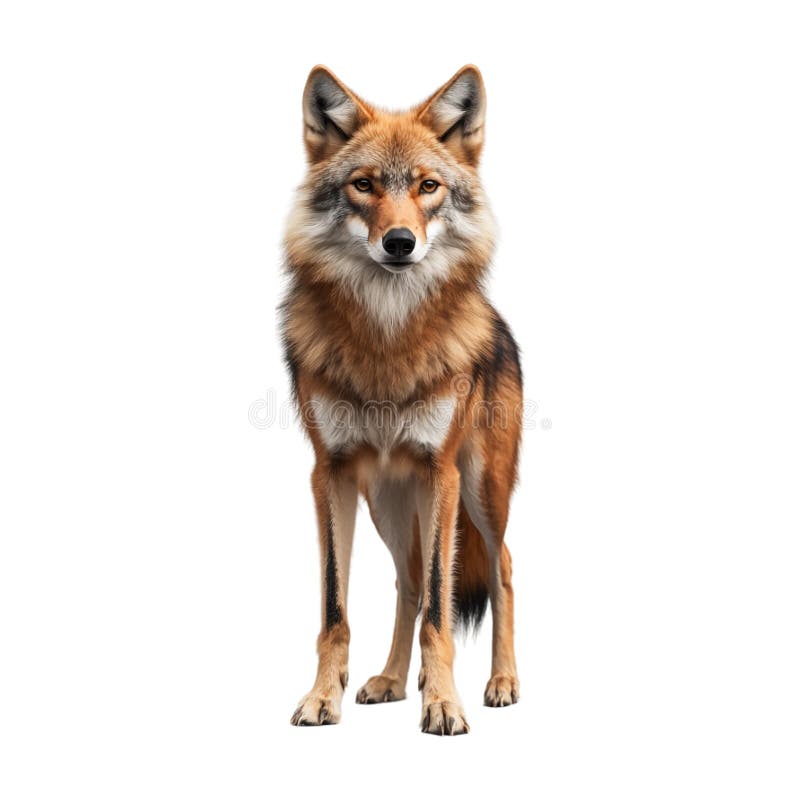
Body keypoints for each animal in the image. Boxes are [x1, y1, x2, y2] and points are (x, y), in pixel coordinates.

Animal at [280, 65, 523, 735]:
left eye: (427, 186)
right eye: (363, 185)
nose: (398, 242)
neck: (388, 341)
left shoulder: (440, 473)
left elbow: (442, 610)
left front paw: (443, 703)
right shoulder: (329, 473)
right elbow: (336, 608)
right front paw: (323, 697)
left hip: (479, 493)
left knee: (500, 569)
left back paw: (501, 682)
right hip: (388, 502)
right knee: (409, 582)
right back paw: (391, 680)